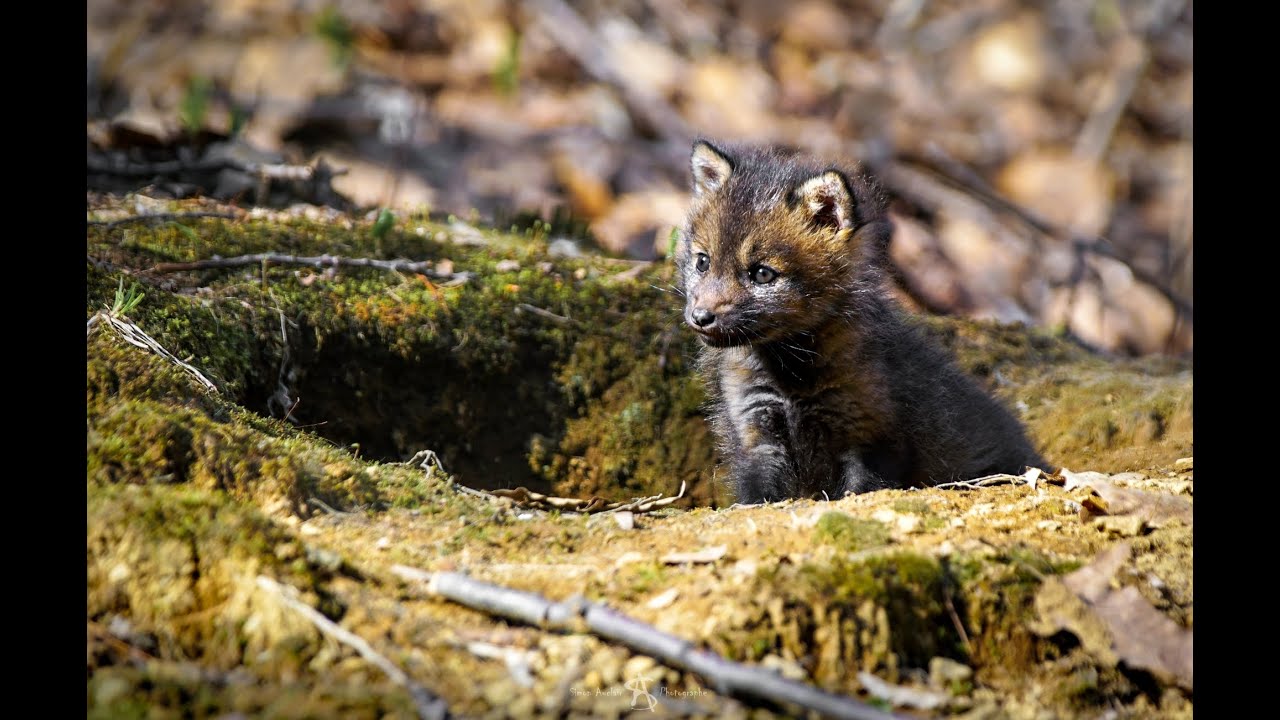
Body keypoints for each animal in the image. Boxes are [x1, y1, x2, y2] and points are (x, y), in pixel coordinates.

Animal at [676, 140, 1045, 503]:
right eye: (703, 262)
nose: (701, 317)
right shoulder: (756, 431)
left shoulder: (870, 437)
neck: (792, 376)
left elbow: (858, 490)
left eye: (763, 274)